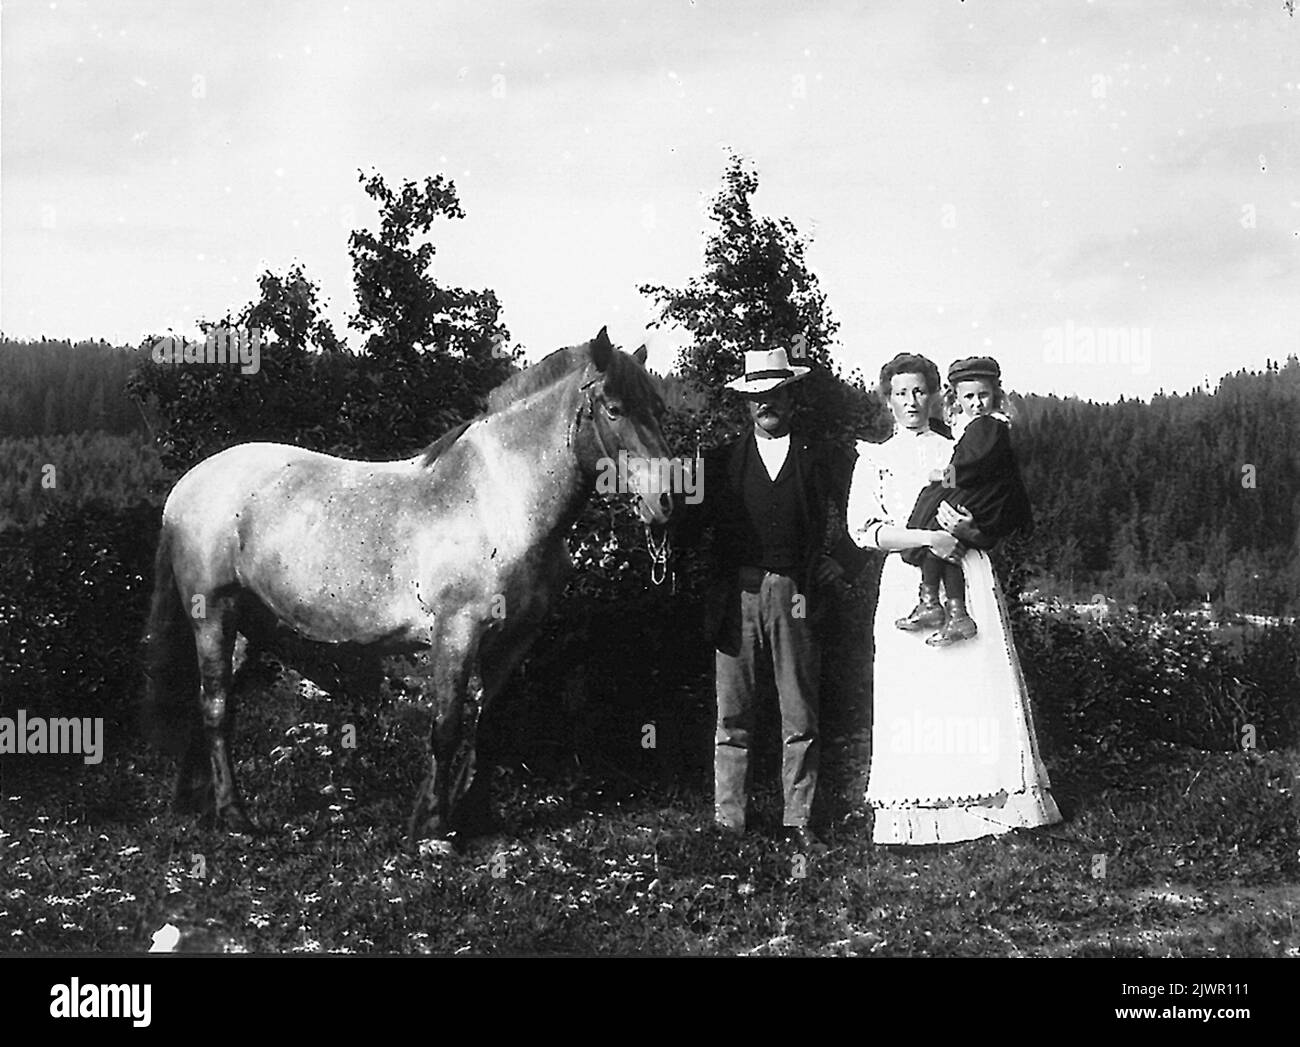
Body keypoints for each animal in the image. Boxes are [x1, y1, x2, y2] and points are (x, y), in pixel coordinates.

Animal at [142, 327, 672, 849]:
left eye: (659, 409)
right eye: (614, 408)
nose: (667, 499)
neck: (500, 502)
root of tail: (187, 486)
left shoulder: (514, 641)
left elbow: (489, 727)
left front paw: (475, 817)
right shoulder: (457, 633)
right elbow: (446, 728)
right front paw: (433, 829)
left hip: (247, 625)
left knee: (212, 702)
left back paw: (196, 803)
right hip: (214, 613)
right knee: (216, 707)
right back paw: (234, 815)